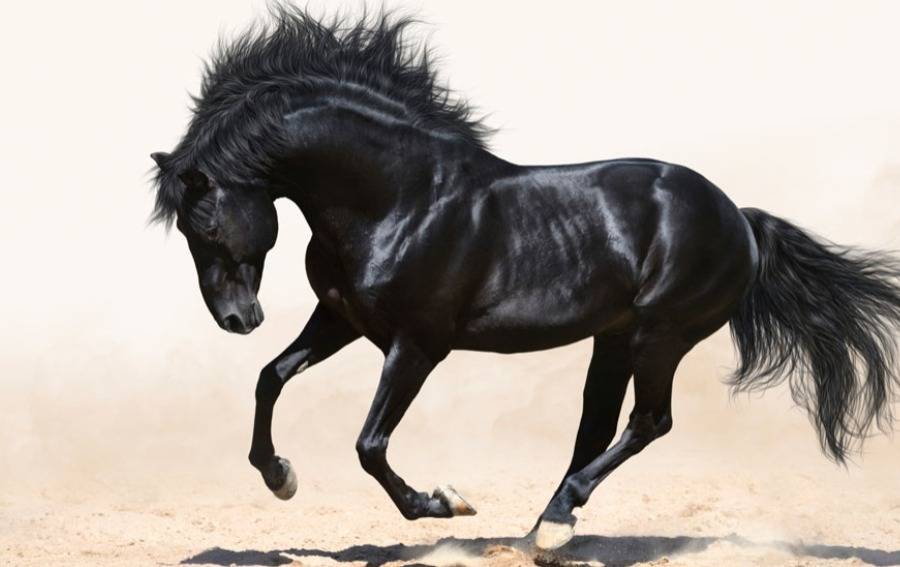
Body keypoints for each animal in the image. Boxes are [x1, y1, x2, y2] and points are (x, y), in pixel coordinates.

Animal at [149, 6, 900, 550]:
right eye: (183, 232)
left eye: (205, 226)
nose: (237, 319)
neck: (400, 198)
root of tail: (738, 217)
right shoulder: (341, 319)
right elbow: (271, 377)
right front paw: (281, 478)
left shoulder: (418, 344)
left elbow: (368, 444)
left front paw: (443, 503)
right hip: (615, 337)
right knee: (597, 426)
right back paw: (543, 528)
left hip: (660, 334)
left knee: (648, 421)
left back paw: (557, 523)